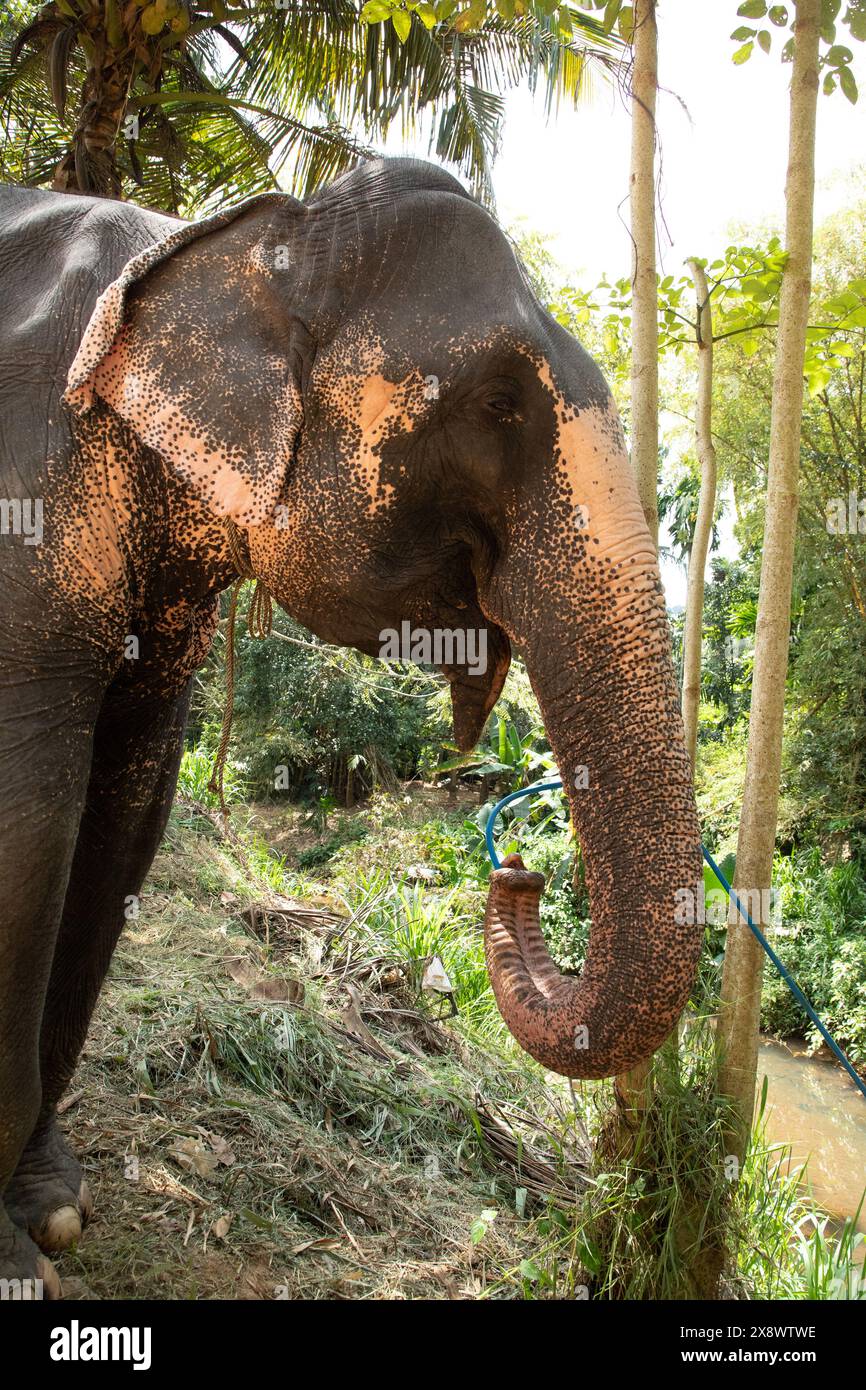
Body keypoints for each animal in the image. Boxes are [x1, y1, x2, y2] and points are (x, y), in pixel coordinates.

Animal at [0, 157, 703, 1295]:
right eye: (498, 402)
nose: (516, 870)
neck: (228, 234)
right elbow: (28, 825)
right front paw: (15, 1263)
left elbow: (122, 819)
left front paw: (53, 1210)